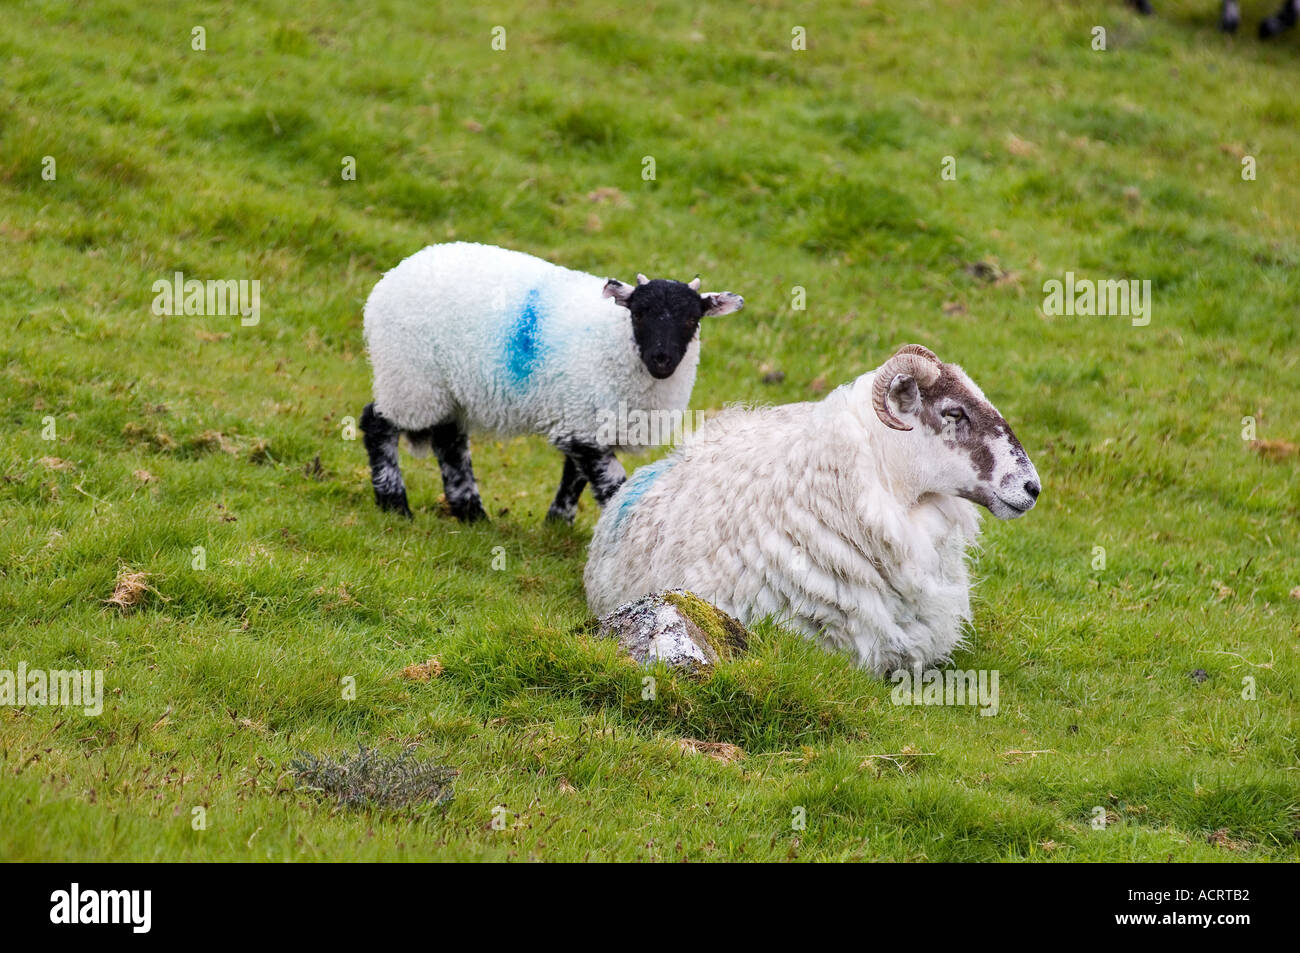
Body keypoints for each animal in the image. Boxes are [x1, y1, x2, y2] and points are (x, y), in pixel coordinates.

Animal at [360, 242, 744, 523]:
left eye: (692, 319)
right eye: (637, 314)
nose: (661, 359)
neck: (615, 341)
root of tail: (395, 272)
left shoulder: (583, 420)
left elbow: (574, 477)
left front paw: (558, 523)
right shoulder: (582, 423)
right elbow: (612, 482)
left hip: (445, 388)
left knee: (449, 442)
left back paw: (471, 513)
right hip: (410, 376)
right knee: (377, 423)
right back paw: (396, 504)